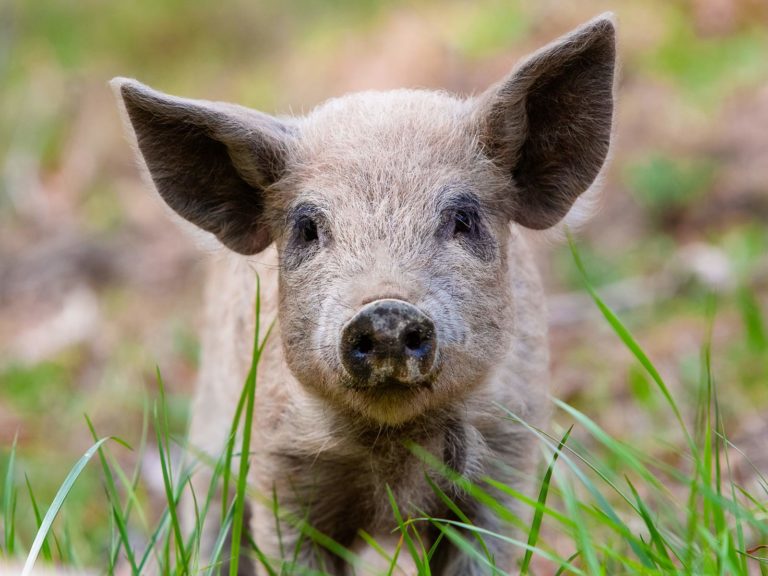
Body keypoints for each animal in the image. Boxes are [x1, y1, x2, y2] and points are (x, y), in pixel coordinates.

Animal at [112, 13, 616, 575]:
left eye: (463, 219)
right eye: (308, 228)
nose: (386, 310)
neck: (390, 450)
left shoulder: (507, 458)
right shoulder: (278, 467)